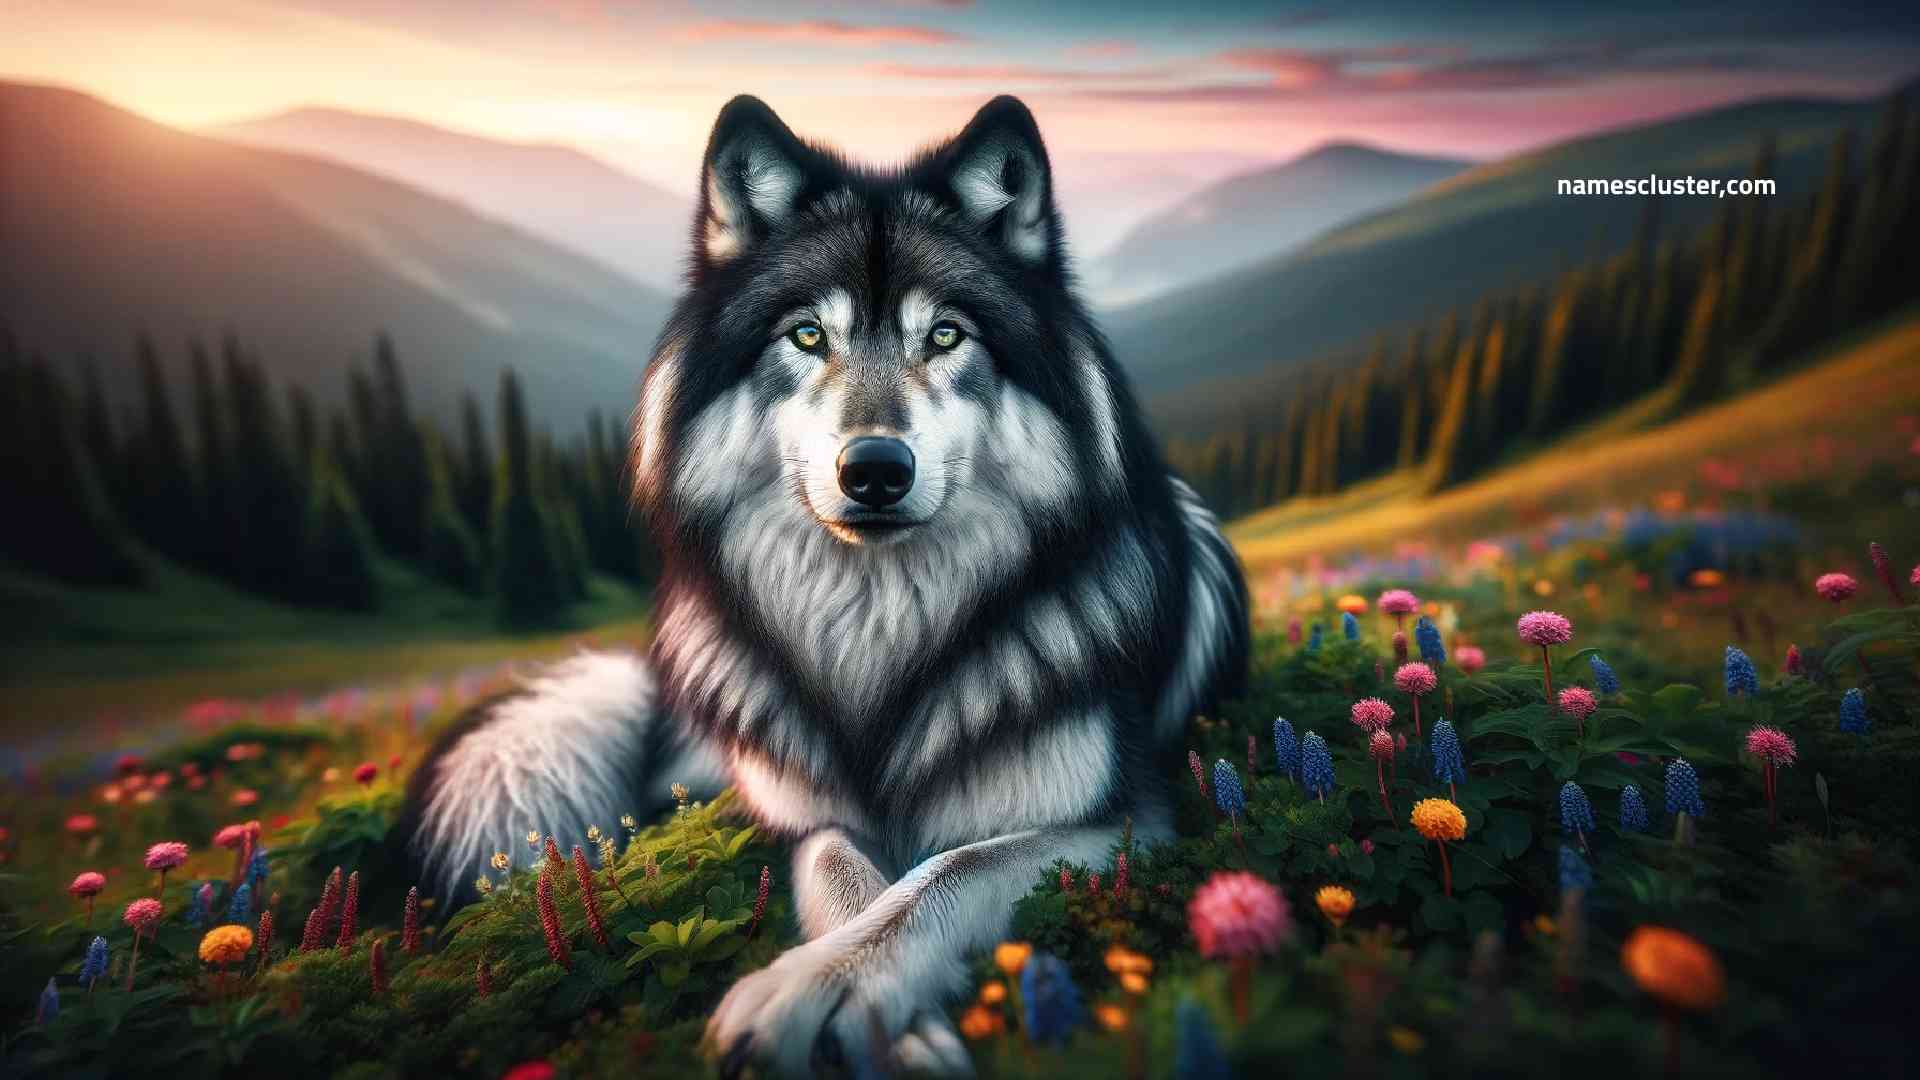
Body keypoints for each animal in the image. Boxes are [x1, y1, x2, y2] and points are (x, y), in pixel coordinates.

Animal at [404, 94, 1248, 1075]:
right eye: (808, 334)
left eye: (946, 335)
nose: (875, 469)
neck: (879, 635)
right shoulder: (807, 820)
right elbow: (851, 876)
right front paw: (882, 1017)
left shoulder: (1117, 820)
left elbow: (940, 875)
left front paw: (831, 990)